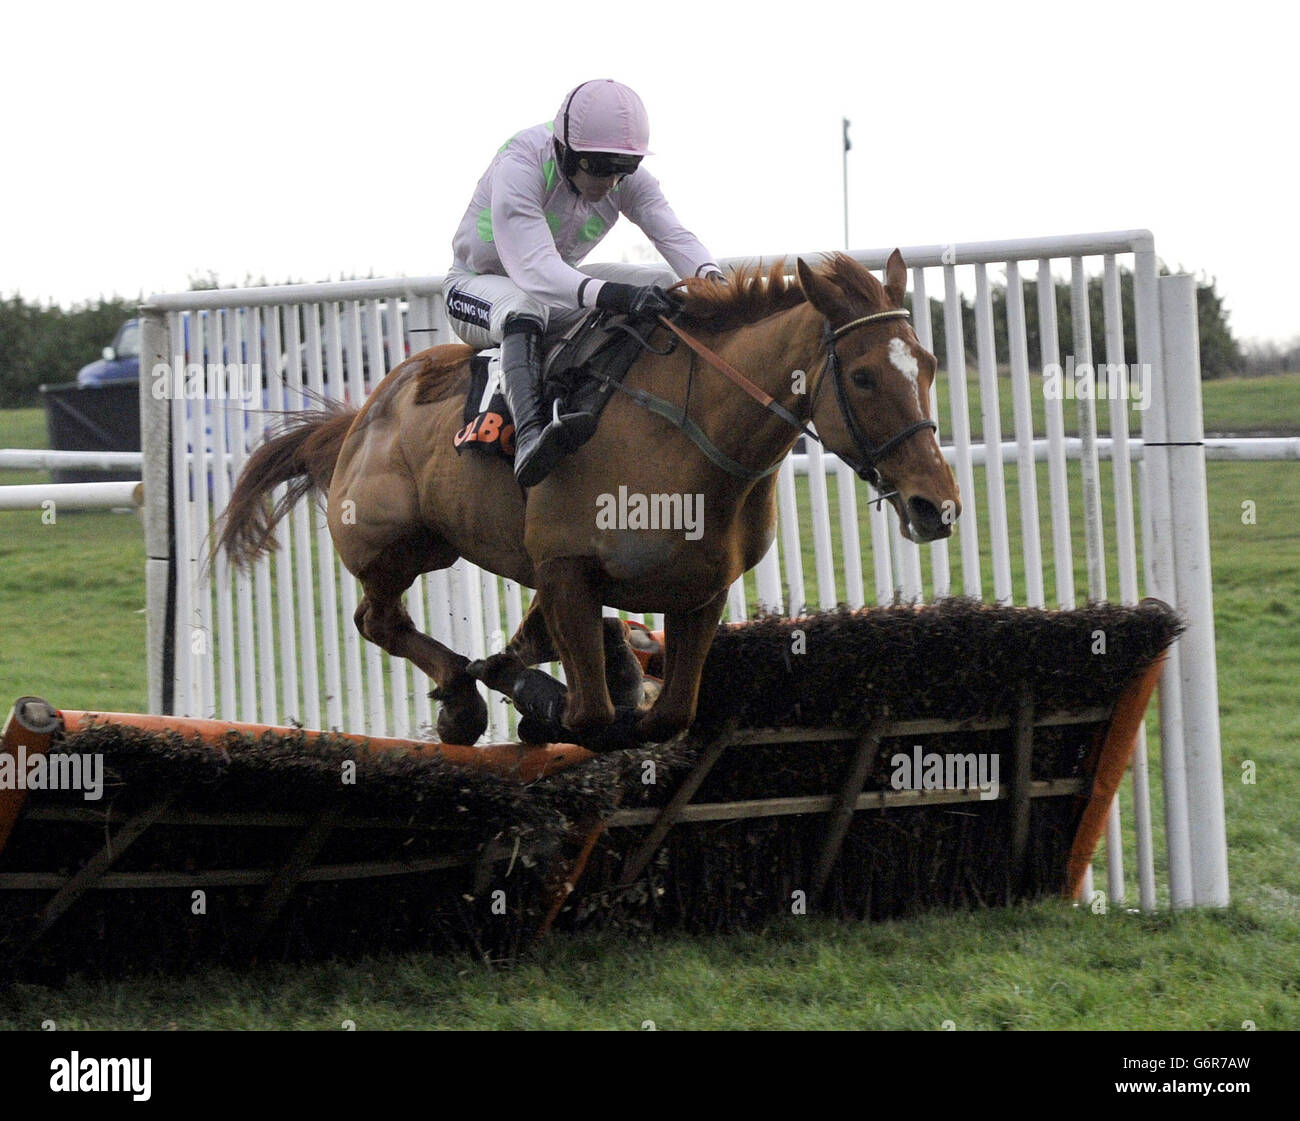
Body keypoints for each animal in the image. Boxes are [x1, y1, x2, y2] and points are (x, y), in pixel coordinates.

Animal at [216, 251, 961, 749]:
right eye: (862, 376)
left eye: (927, 364)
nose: (937, 505)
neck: (687, 433)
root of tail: (361, 415)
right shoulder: (565, 566)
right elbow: (592, 717)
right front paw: (540, 699)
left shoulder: (700, 590)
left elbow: (667, 713)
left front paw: (602, 673)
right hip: (400, 543)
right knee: (378, 619)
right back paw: (463, 698)